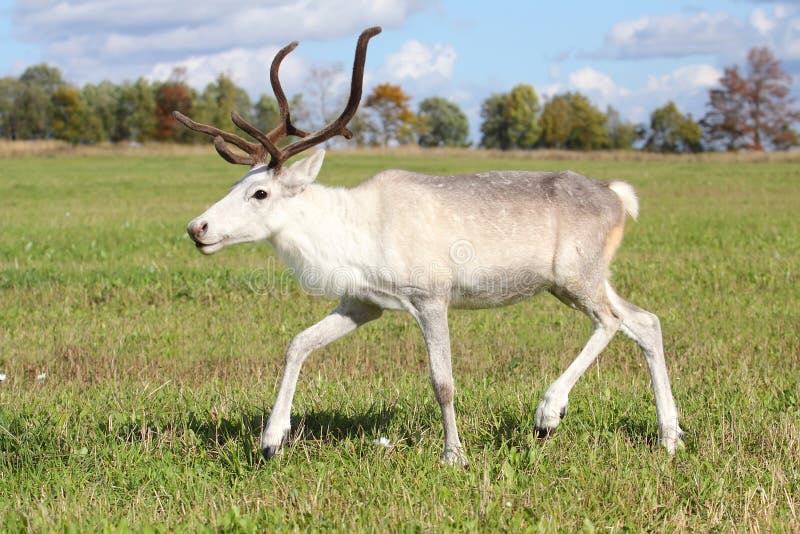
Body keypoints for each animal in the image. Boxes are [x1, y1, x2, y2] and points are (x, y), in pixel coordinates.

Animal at [175, 27, 683, 465]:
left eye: (260, 193)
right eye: (237, 182)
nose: (197, 227)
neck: (353, 235)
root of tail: (619, 197)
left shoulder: (431, 295)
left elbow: (443, 381)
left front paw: (453, 454)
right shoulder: (362, 301)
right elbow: (297, 343)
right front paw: (270, 440)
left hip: (573, 275)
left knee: (611, 320)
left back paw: (547, 414)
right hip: (593, 275)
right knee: (645, 321)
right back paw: (669, 437)